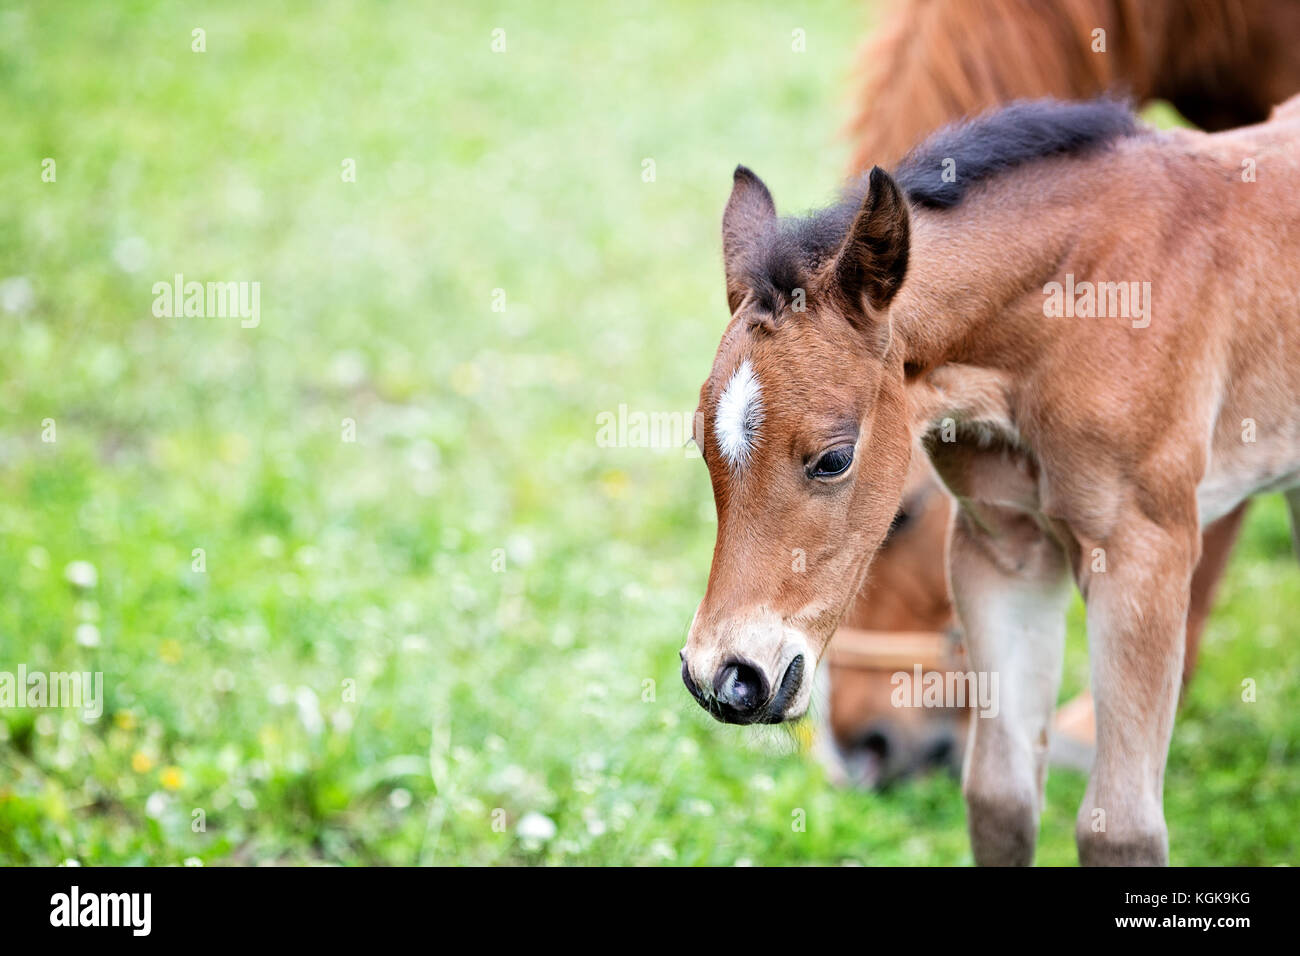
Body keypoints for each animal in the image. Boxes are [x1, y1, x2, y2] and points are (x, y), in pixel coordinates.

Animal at [683, 95, 1300, 865]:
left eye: (833, 458)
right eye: (701, 444)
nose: (725, 679)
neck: (1074, 307)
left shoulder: (1144, 553)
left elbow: (1120, 826)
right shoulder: (1002, 552)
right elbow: (999, 799)